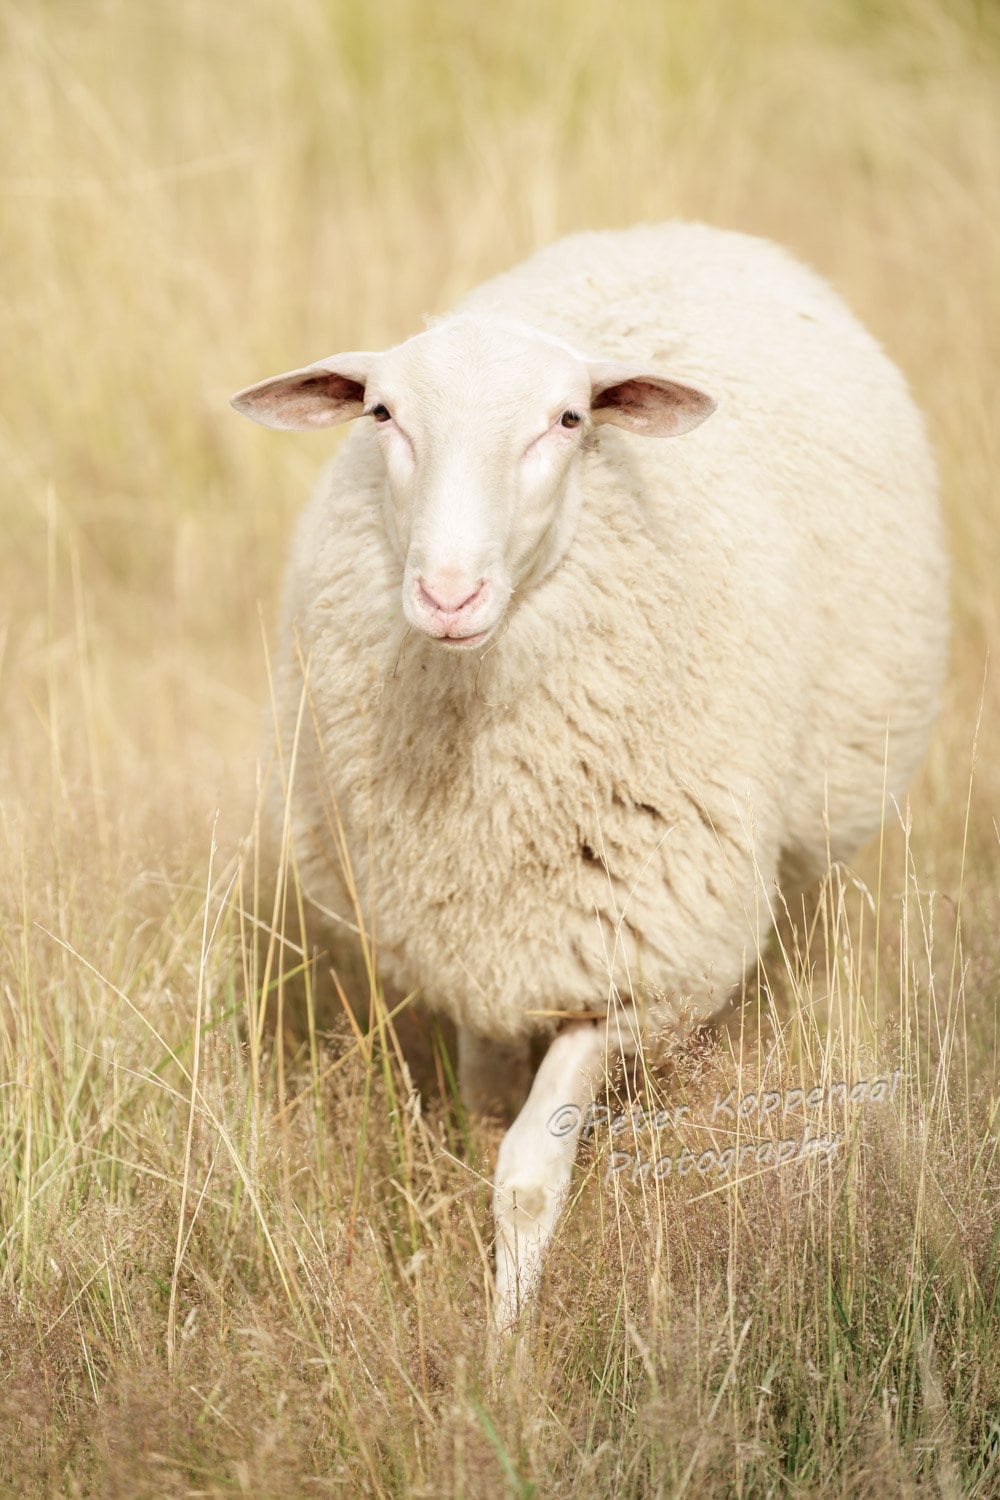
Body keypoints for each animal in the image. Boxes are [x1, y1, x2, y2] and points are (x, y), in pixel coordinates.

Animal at [231, 221, 948, 1347]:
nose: (448, 594)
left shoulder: (633, 964)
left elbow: (527, 1173)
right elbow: (482, 1117)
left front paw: (505, 1349)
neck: (485, 779)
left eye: (568, 422)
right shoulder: (468, 941)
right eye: (382, 414)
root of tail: (677, 231)